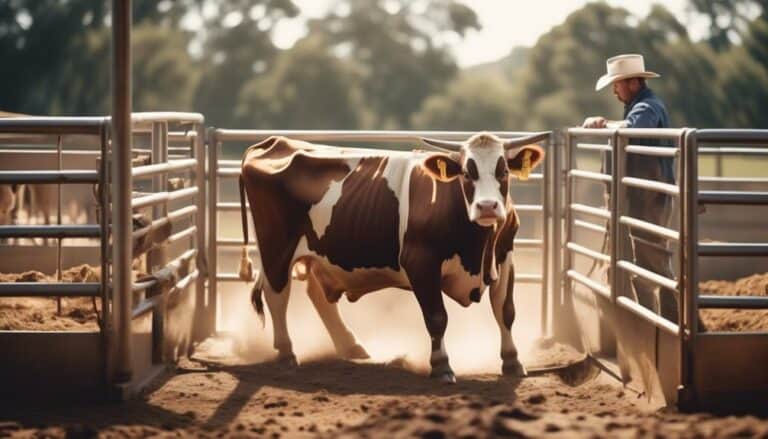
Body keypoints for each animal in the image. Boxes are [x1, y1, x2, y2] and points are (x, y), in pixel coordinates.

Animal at [238, 132, 546, 382]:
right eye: (467, 174)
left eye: (503, 171)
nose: (487, 206)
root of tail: (273, 142)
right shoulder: (421, 262)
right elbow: (437, 317)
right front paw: (441, 366)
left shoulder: (504, 255)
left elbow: (505, 311)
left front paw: (512, 361)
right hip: (277, 247)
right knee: (277, 295)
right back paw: (287, 352)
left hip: (319, 255)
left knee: (317, 294)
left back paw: (351, 346)